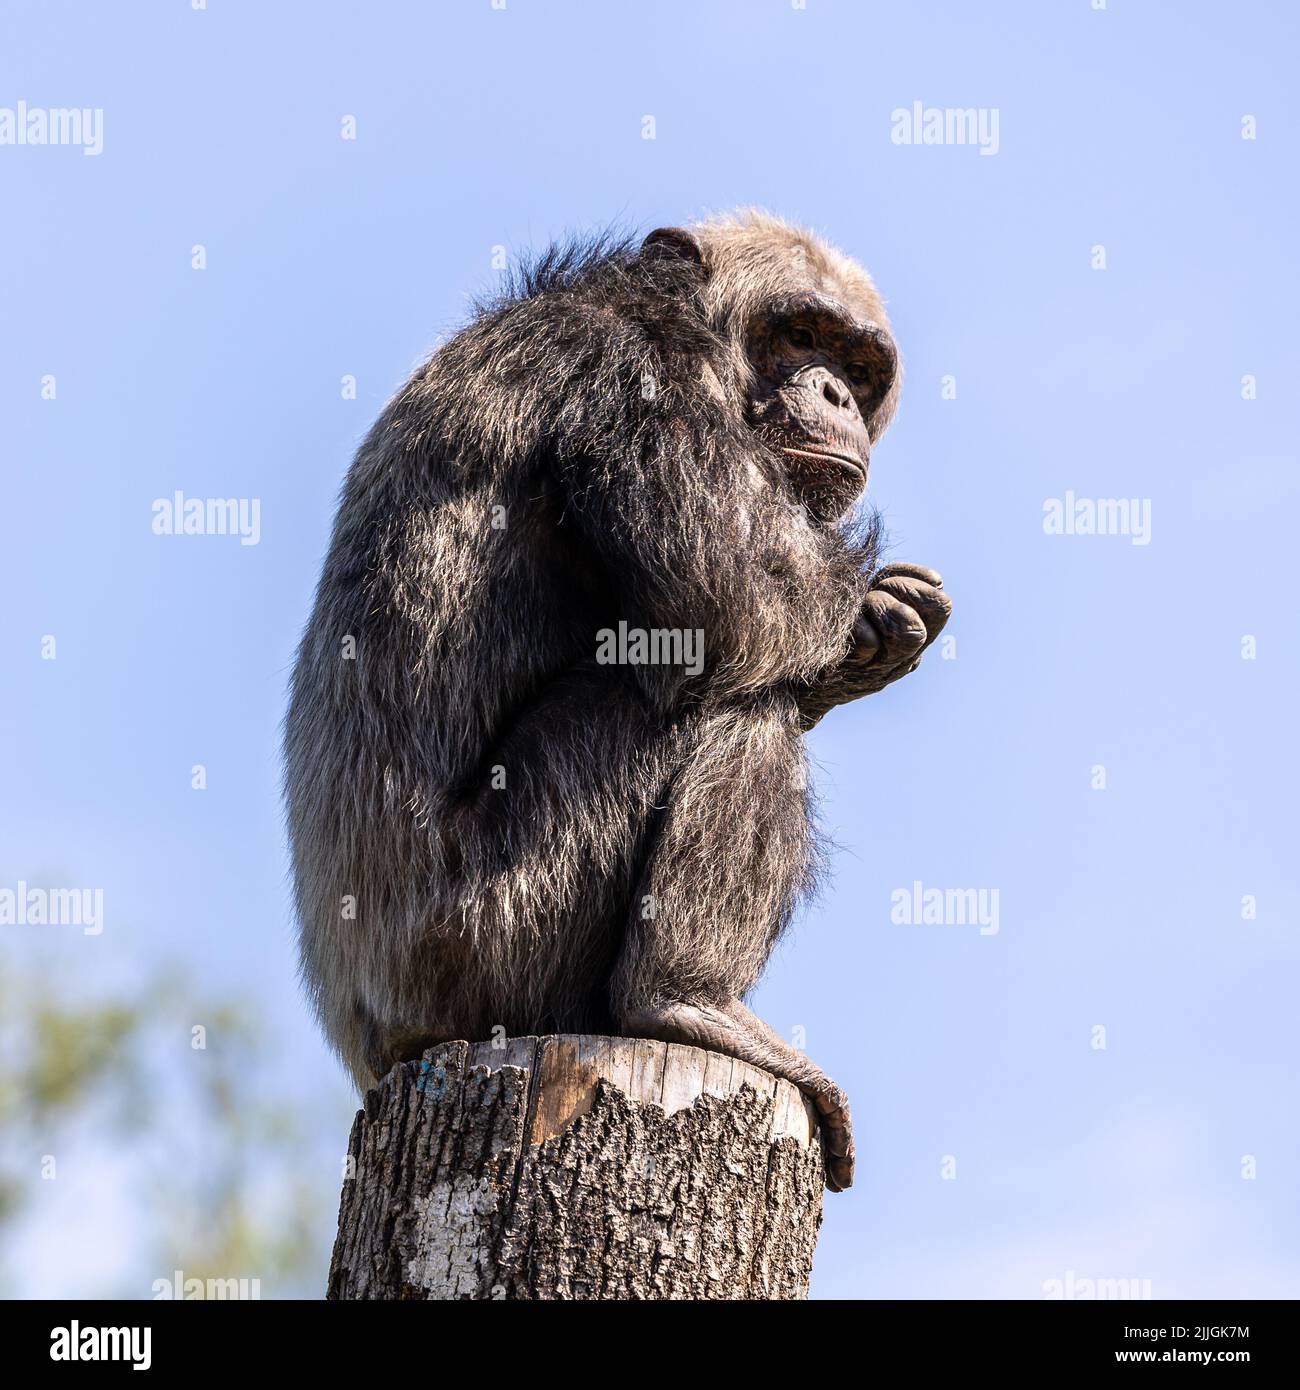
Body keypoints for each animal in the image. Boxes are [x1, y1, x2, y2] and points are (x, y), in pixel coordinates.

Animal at [283, 209, 950, 1191]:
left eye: (859, 364)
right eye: (800, 334)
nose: (833, 390)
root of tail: (377, 1043)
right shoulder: (642, 374)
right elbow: (734, 603)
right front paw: (866, 614)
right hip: (498, 926)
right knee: (736, 716)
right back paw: (686, 1000)